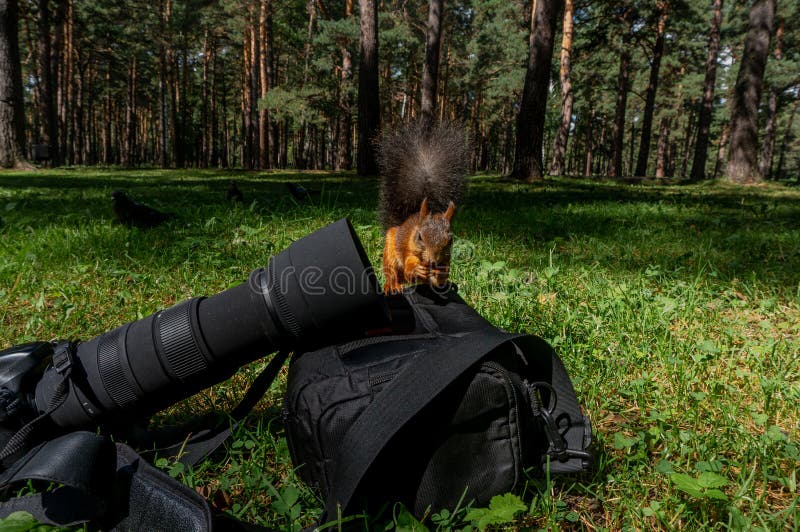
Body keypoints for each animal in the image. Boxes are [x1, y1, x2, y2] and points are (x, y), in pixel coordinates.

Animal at [376, 119, 469, 294]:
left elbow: (439, 277)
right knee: (393, 273)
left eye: (450, 240)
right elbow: (408, 269)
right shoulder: (408, 251)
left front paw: (441, 273)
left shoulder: (446, 258)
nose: (432, 261)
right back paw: (392, 286)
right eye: (419, 236)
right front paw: (415, 269)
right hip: (390, 250)